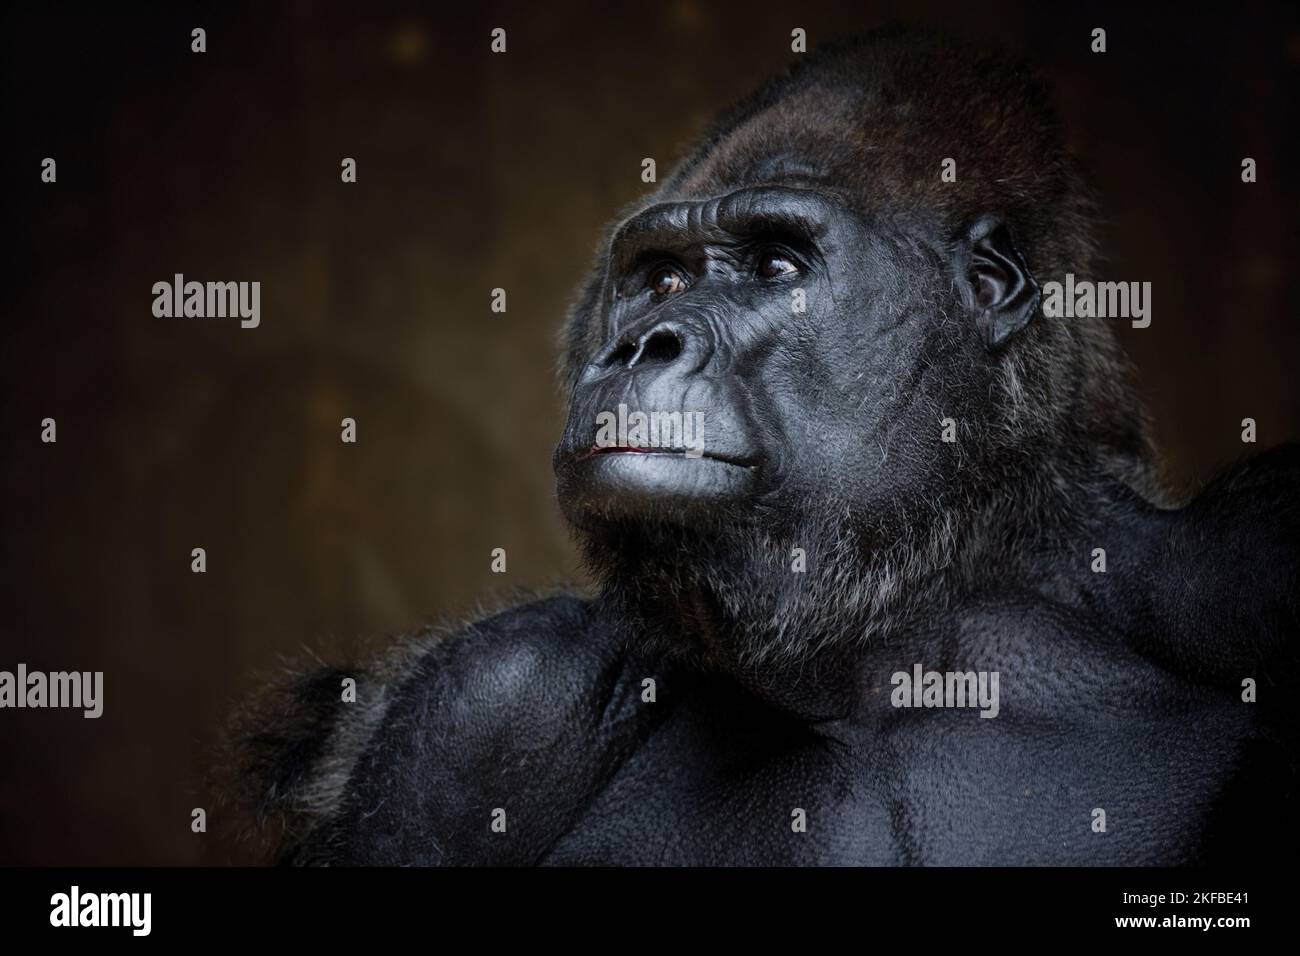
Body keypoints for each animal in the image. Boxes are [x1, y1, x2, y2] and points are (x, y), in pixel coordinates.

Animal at [228, 26, 1298, 866]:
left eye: (778, 266)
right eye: (658, 281)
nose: (640, 344)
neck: (903, 630)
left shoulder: (1238, 565)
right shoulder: (477, 708)